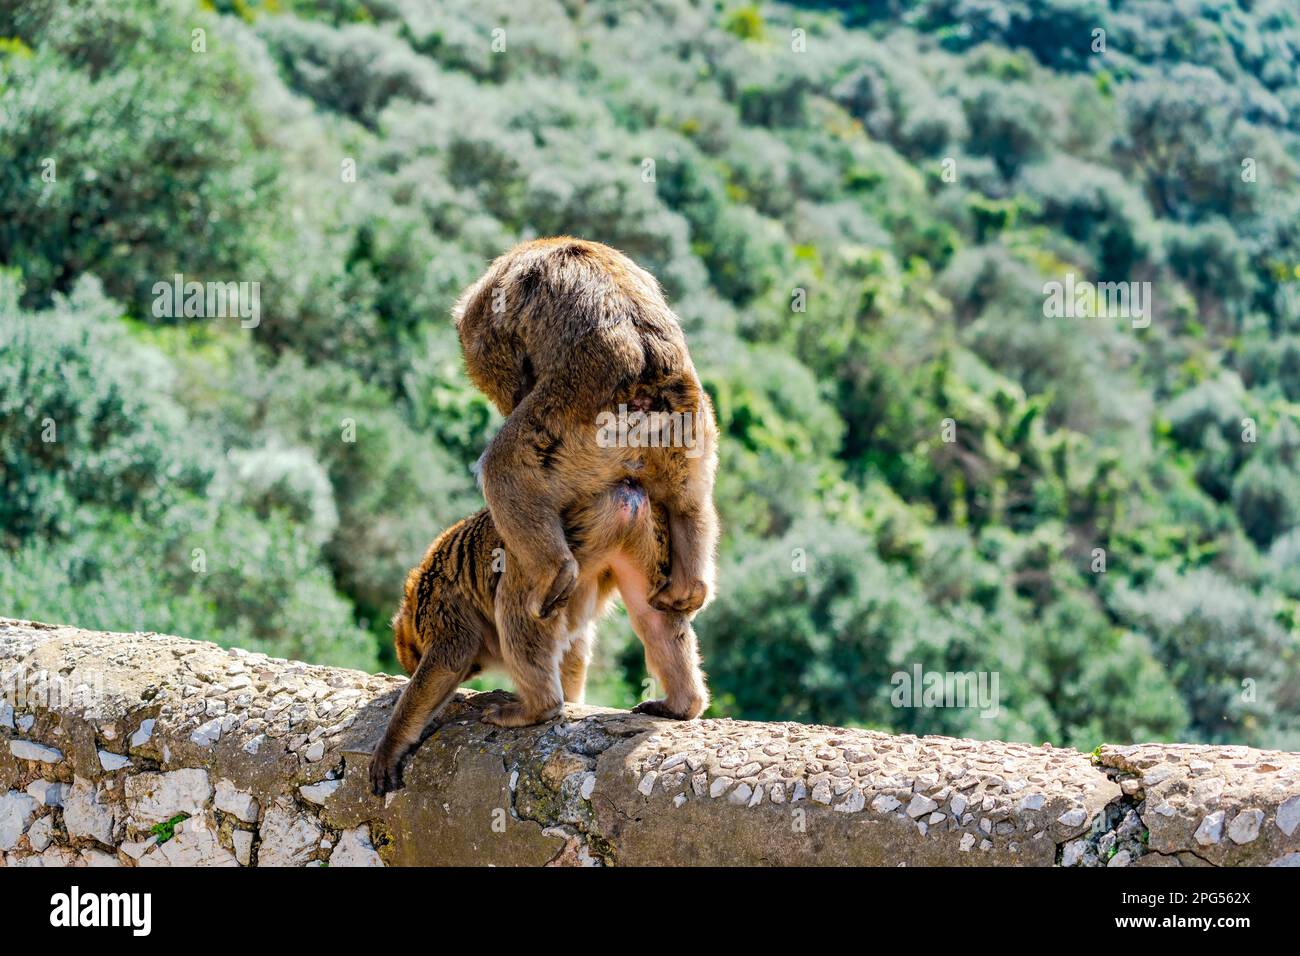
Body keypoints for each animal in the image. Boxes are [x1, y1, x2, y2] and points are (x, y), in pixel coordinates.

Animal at [368, 477, 709, 796]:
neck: (417, 598)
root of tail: (622, 492)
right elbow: (574, 648)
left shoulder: (440, 605)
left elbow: (449, 657)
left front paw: (391, 745)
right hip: (636, 532)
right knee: (653, 617)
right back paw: (682, 705)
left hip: (555, 552)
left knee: (515, 600)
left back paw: (538, 708)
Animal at [453, 237, 720, 632]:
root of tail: (647, 393)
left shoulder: (488, 324)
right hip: (688, 430)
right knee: (688, 499)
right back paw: (690, 585)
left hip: (575, 421)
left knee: (504, 465)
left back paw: (556, 574)